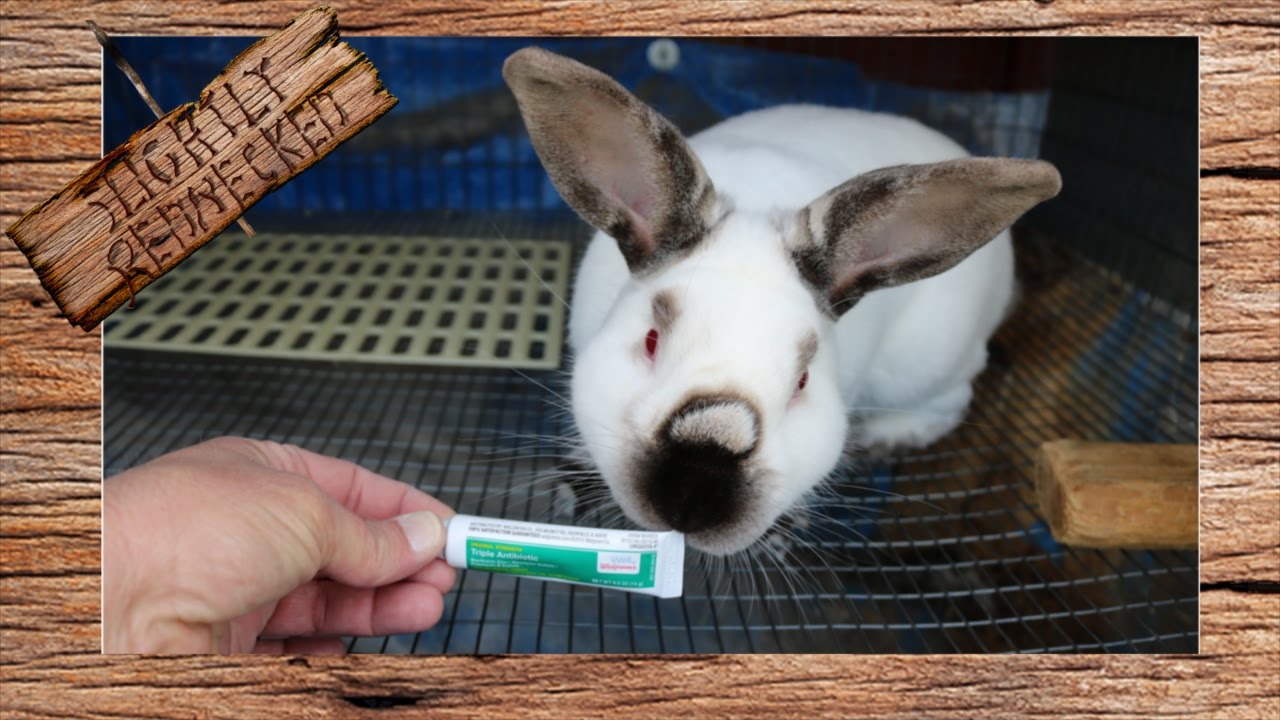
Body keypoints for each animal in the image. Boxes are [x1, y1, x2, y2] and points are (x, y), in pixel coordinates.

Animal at [503, 47, 1061, 556]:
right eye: (651, 340)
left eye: (802, 382)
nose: (694, 492)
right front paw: (571, 484)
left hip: (927, 367)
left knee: (953, 400)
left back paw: (887, 438)